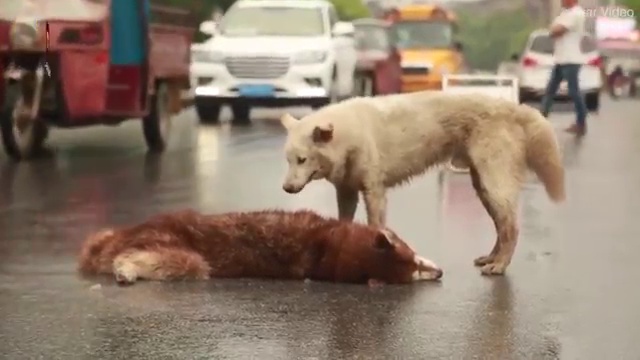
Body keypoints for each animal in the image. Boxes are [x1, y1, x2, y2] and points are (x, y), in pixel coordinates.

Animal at [280, 90, 564, 276]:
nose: (286, 189)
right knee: (501, 227)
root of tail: (517, 108)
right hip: (482, 186)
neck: (349, 136)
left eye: (302, 159)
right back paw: (491, 258)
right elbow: (344, 222)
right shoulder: (346, 191)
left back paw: (500, 265)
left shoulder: (374, 192)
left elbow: (375, 226)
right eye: (288, 160)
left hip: (494, 183)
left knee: (511, 228)